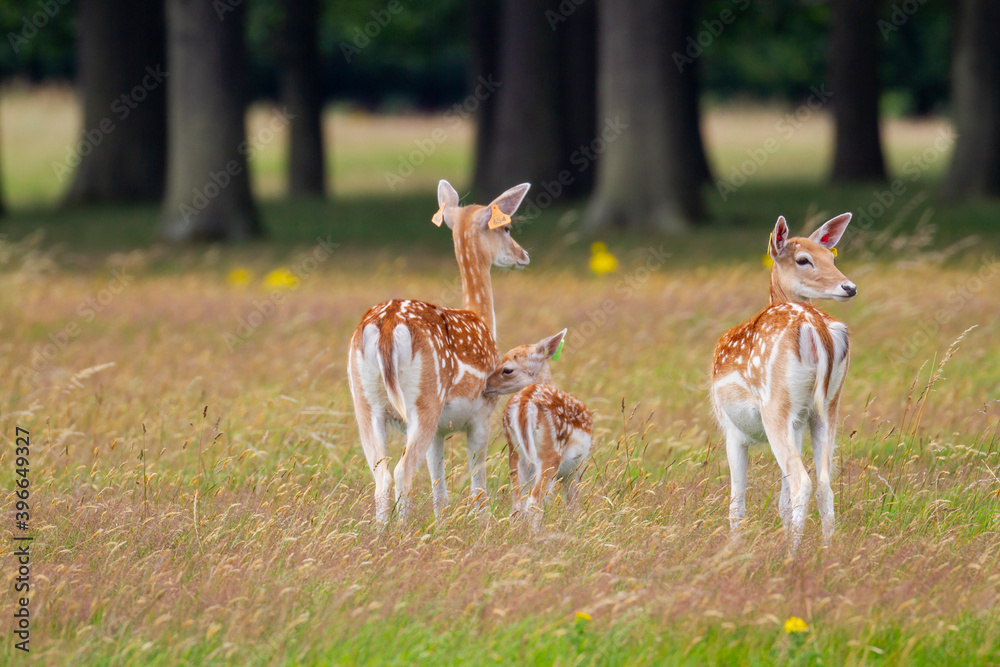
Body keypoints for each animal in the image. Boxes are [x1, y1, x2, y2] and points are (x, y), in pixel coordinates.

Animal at [347, 180, 530, 524]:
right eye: (508, 228)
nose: (523, 255)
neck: (481, 318)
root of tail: (387, 325)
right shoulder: (482, 413)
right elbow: (478, 485)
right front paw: (482, 524)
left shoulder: (440, 432)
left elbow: (439, 488)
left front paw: (441, 523)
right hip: (424, 400)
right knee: (402, 471)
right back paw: (402, 530)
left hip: (364, 402)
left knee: (382, 474)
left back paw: (381, 532)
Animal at [484, 329, 593, 531]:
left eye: (506, 369)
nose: (486, 386)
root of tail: (524, 403)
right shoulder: (576, 467)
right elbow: (572, 502)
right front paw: (574, 526)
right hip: (550, 454)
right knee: (534, 502)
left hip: (515, 453)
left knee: (517, 504)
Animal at [710, 213, 857, 552]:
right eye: (804, 259)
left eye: (831, 257)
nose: (850, 287)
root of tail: (816, 327)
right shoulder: (798, 425)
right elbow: (782, 501)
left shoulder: (731, 429)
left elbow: (737, 503)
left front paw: (733, 551)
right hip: (827, 406)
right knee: (824, 483)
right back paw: (827, 552)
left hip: (775, 406)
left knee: (803, 482)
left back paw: (792, 555)